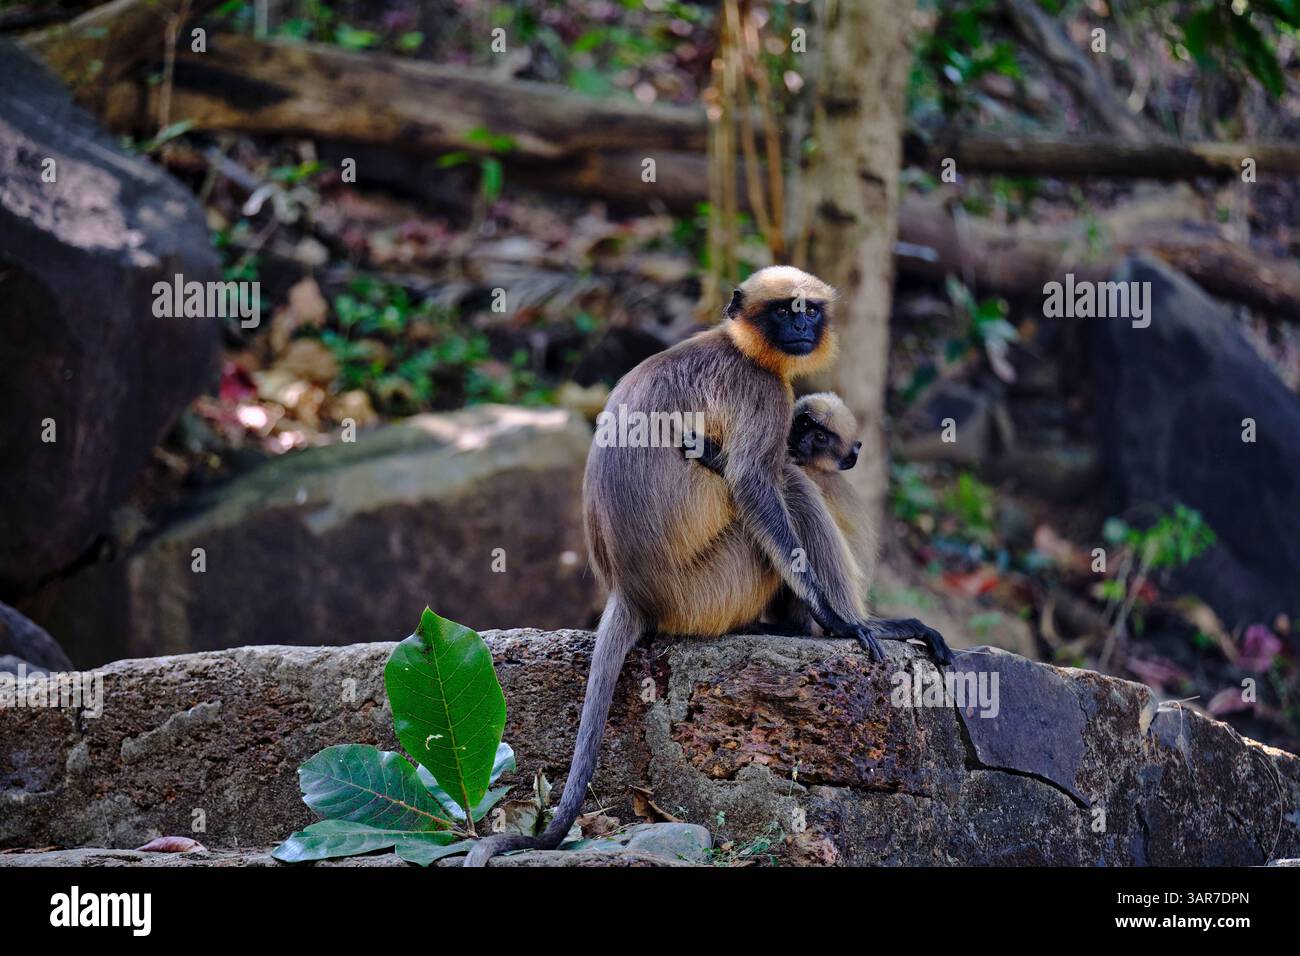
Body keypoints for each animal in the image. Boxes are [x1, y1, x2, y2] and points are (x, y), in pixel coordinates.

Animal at [464, 266, 951, 866]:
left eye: (808, 311)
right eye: (784, 311)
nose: (800, 328)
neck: (738, 347)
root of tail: (629, 590)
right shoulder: (765, 394)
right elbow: (752, 482)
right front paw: (840, 620)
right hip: (712, 586)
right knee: (788, 482)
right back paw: (839, 622)